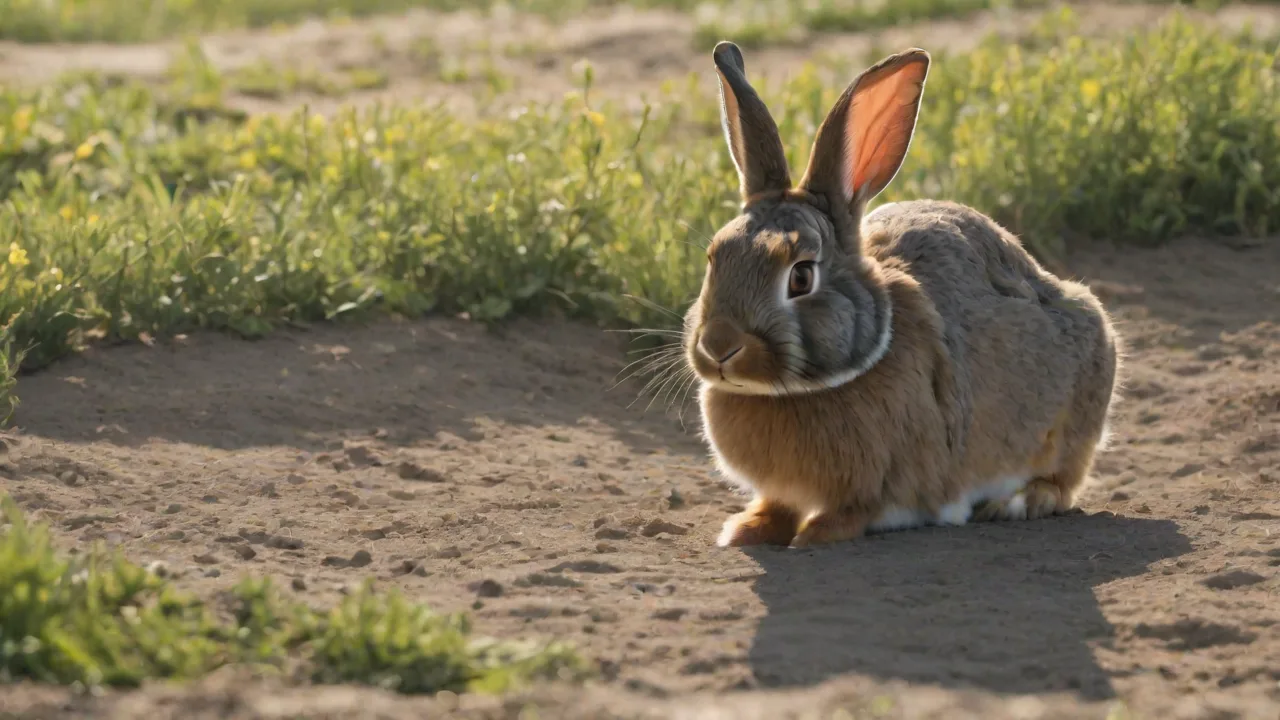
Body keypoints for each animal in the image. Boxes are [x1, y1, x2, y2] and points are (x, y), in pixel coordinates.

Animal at [683, 42, 1120, 548]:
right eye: (714, 257)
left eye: (801, 277)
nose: (719, 346)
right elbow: (777, 504)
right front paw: (746, 530)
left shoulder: (886, 483)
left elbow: (858, 510)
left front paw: (813, 534)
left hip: (1073, 416)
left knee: (1062, 481)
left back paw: (1017, 502)